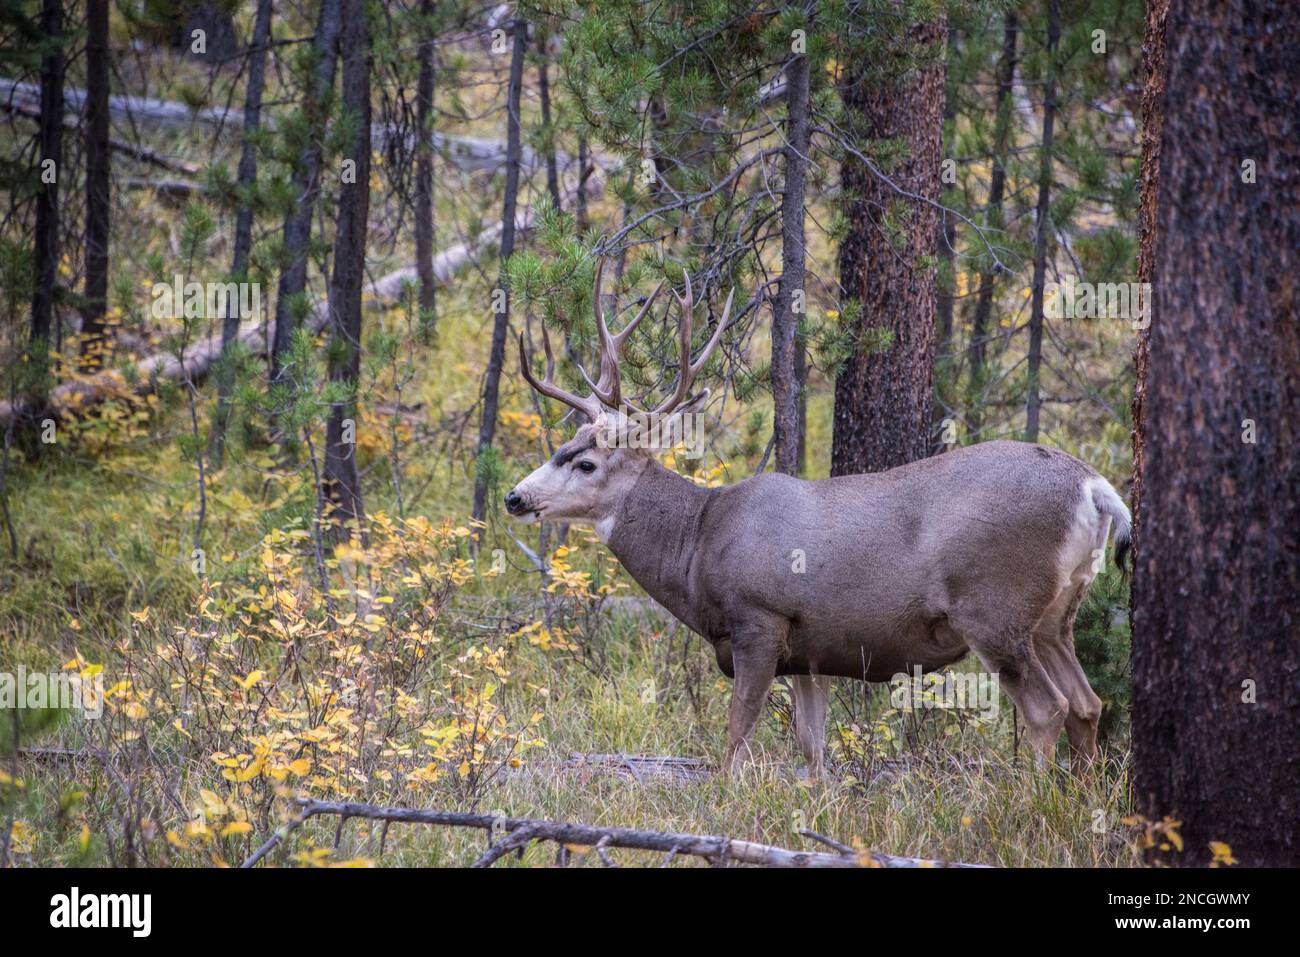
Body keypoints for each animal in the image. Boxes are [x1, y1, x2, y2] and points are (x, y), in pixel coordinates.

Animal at [505, 260, 1132, 775]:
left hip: (994, 607)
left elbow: (736, 736)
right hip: (1056, 614)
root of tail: (1094, 488)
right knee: (1087, 703)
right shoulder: (811, 651)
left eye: (585, 462)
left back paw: (1032, 800)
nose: (514, 497)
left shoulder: (759, 619)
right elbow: (813, 747)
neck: (698, 539)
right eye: (562, 445)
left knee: (1048, 708)